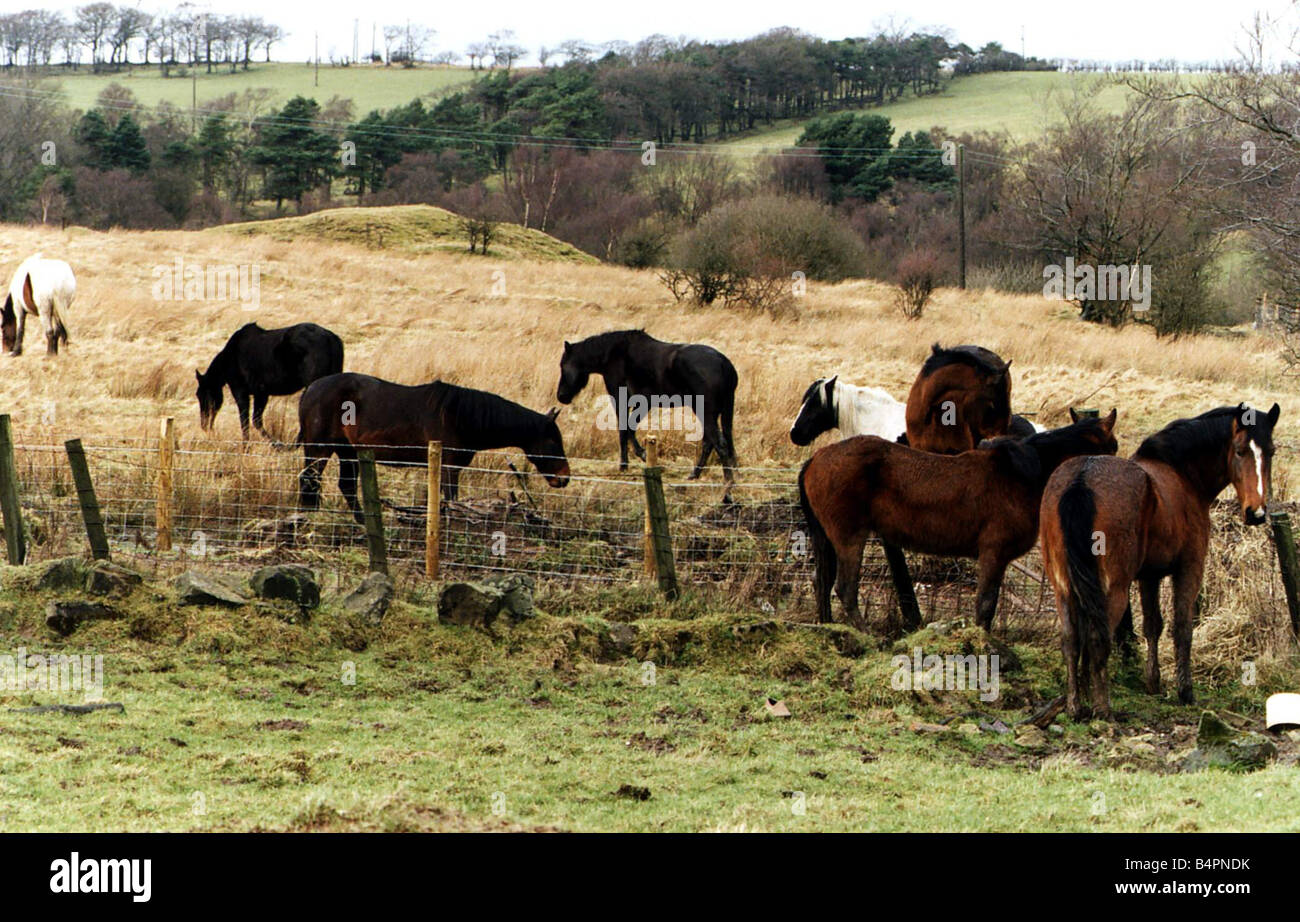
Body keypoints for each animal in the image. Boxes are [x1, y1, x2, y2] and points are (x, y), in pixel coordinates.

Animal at [196, 322, 343, 440]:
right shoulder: (261, 394)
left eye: (202, 395)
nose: (204, 425)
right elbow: (255, 421)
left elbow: (246, 422)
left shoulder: (241, 392)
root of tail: (330, 338)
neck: (230, 358)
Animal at [297, 372, 571, 520]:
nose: (564, 477)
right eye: (553, 441)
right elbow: (451, 500)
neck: (460, 416)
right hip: (320, 448)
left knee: (345, 486)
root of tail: (310, 388)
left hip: (348, 451)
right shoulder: (449, 468)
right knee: (309, 479)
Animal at [557, 330, 738, 482]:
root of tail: (724, 364)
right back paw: (699, 473)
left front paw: (632, 460)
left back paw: (727, 482)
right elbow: (627, 429)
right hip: (717, 412)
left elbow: (625, 429)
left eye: (563, 365)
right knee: (714, 441)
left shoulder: (625, 399)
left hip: (705, 412)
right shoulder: (640, 403)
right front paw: (631, 461)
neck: (613, 355)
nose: (561, 396)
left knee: (718, 443)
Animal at [798, 409, 1118, 633]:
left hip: (829, 538)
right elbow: (985, 605)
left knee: (821, 581)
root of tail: (817, 457)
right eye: (1113, 447)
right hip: (849, 537)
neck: (1022, 475)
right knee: (845, 588)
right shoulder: (993, 554)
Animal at [1040, 403, 1279, 719]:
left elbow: (1153, 625)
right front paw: (1184, 691)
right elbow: (1182, 626)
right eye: (1240, 451)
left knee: (1071, 640)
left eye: (1271, 451)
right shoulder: (1189, 568)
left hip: (1063, 588)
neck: (1180, 473)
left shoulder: (1149, 576)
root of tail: (1082, 477)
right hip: (1113, 589)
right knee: (1097, 639)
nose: (1257, 513)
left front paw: (1153, 683)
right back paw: (1103, 708)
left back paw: (1075, 705)